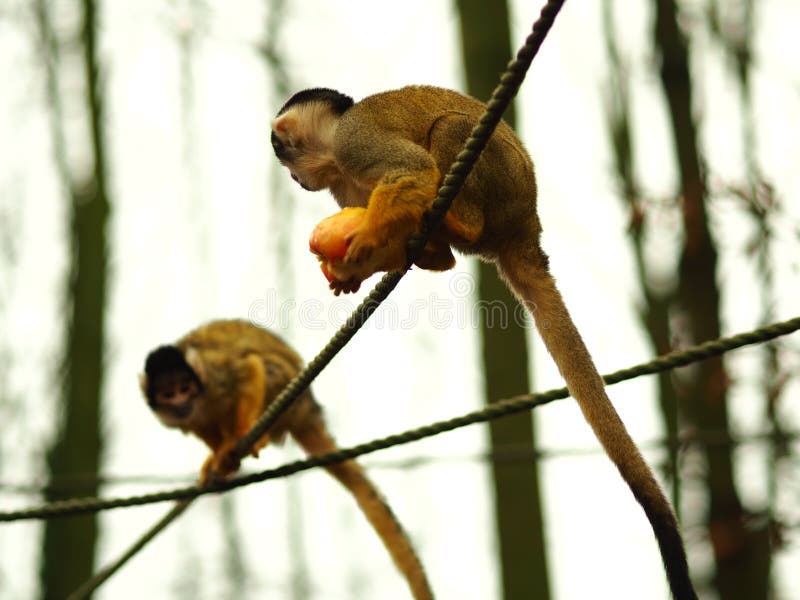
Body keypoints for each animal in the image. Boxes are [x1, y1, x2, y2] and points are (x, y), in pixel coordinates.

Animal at [140, 319, 433, 600]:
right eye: (168, 394)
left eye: (184, 388)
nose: (180, 402)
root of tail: (310, 410)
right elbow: (202, 424)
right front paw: (218, 458)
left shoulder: (214, 376)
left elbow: (248, 369)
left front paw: (234, 442)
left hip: (292, 402)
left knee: (266, 367)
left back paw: (252, 437)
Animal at [271, 85, 697, 599]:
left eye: (282, 153)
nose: (293, 178)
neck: (335, 147)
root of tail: (528, 227)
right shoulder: (344, 183)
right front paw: (361, 265)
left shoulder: (355, 140)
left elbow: (411, 173)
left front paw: (365, 240)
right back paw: (435, 250)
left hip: (504, 183)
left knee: (450, 129)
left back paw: (460, 223)